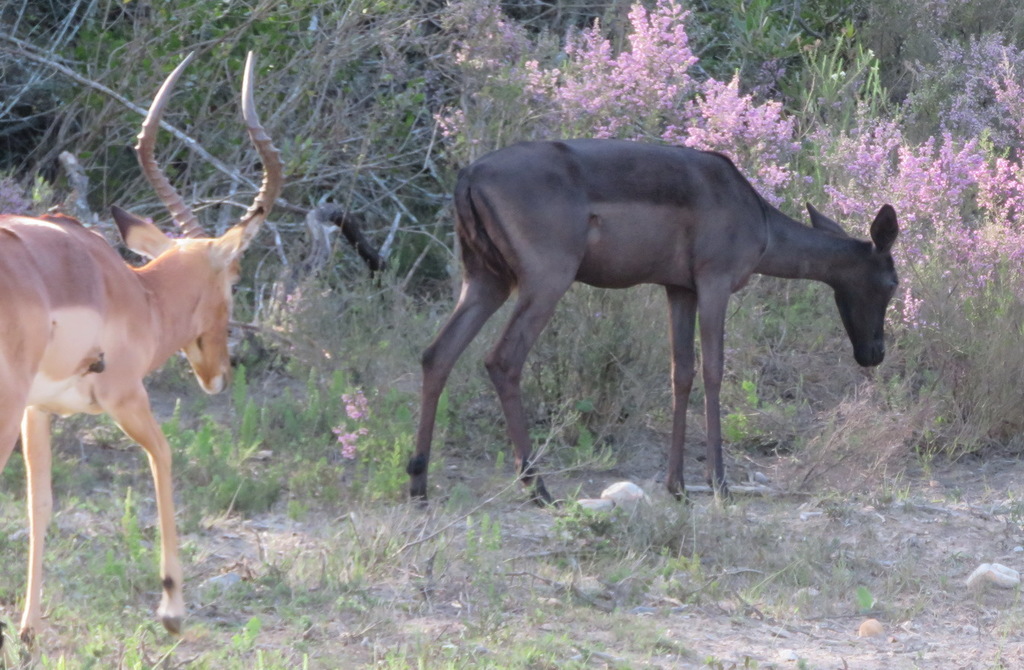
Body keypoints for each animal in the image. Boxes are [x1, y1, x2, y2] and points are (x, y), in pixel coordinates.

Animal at [0, 51, 282, 642]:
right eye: (235, 278)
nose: (220, 373)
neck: (138, 295)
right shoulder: (126, 398)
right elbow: (166, 457)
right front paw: (172, 610)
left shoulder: (39, 410)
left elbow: (40, 505)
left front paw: (29, 631)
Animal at [409, 139, 898, 504]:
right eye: (892, 282)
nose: (873, 353)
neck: (758, 221)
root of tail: (468, 176)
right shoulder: (715, 280)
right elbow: (714, 370)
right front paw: (719, 483)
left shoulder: (678, 288)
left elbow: (680, 373)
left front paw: (676, 485)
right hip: (546, 278)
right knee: (502, 360)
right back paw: (538, 487)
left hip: (485, 278)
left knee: (437, 353)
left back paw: (418, 482)